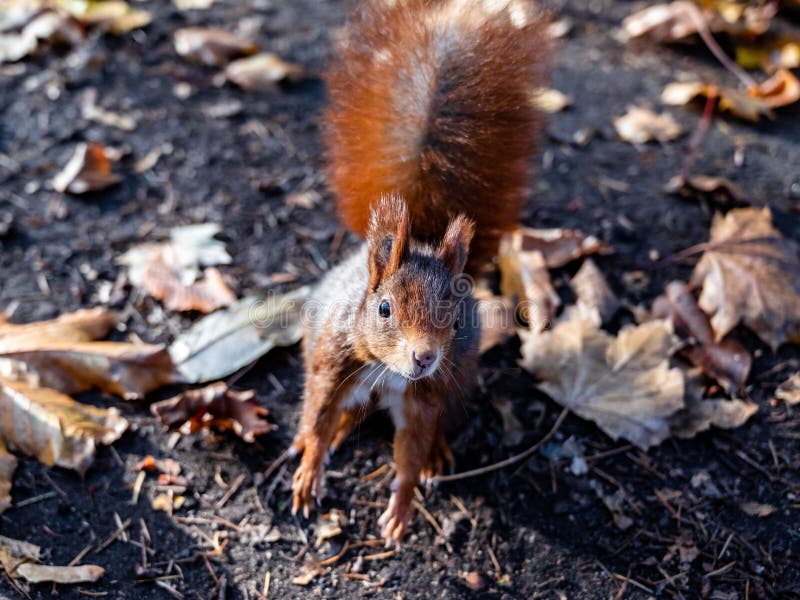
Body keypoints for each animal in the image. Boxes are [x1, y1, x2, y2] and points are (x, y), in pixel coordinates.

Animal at [290, 0, 551, 544]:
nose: (424, 357)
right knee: (335, 413)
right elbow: (319, 414)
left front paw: (403, 504)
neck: (387, 369)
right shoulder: (332, 361)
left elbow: (409, 451)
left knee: (436, 426)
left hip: (459, 381)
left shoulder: (423, 398)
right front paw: (308, 472)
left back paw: (437, 457)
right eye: (384, 309)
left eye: (452, 318)